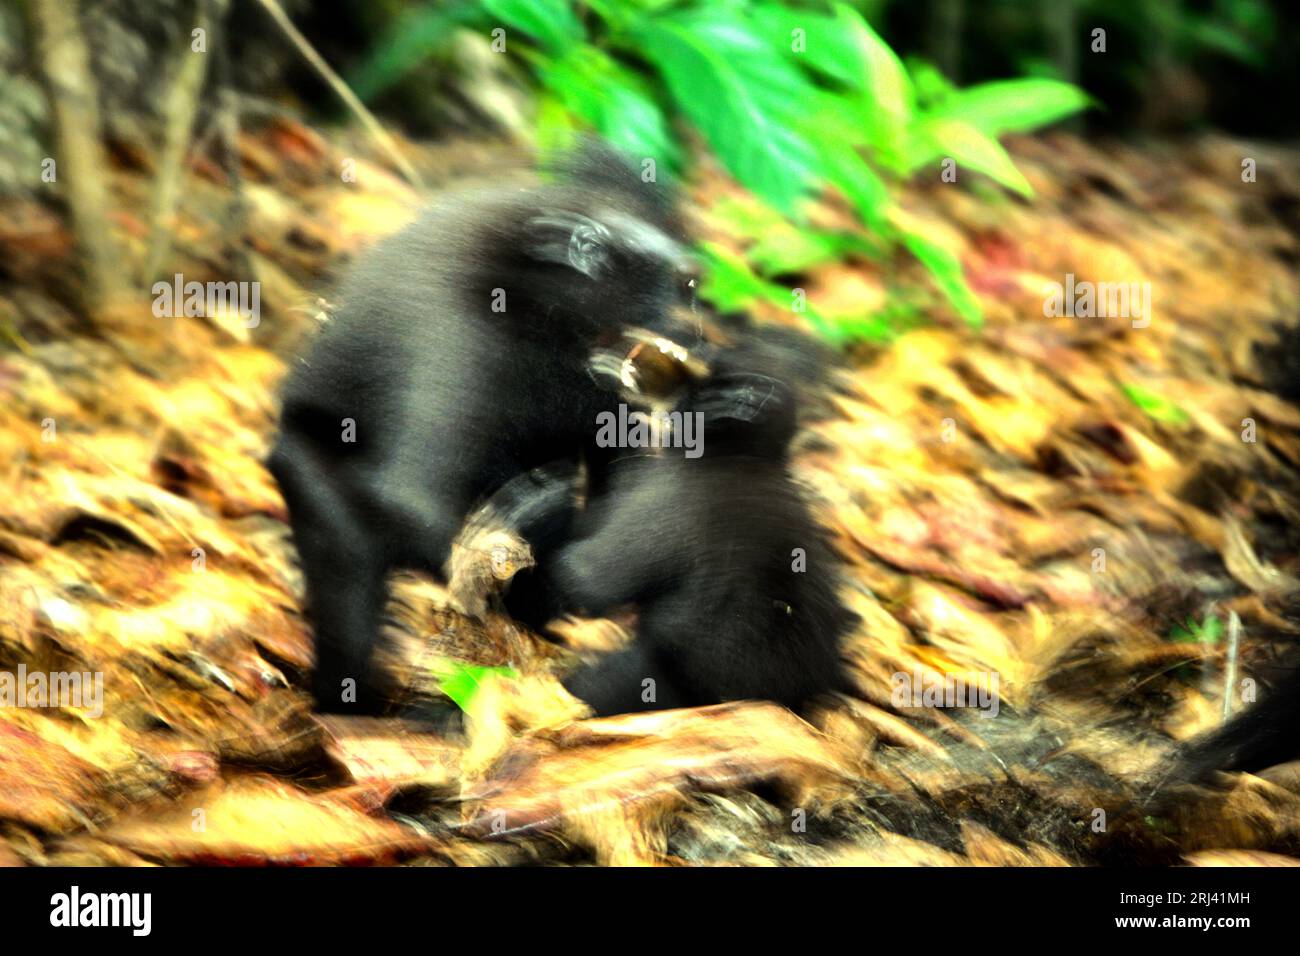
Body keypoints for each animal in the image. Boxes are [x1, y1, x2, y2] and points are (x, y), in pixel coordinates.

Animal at [268, 143, 700, 714]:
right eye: (685, 287)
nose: (694, 332)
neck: (538, 300)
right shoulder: (458, 333)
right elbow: (413, 503)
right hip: (304, 464)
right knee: (348, 560)